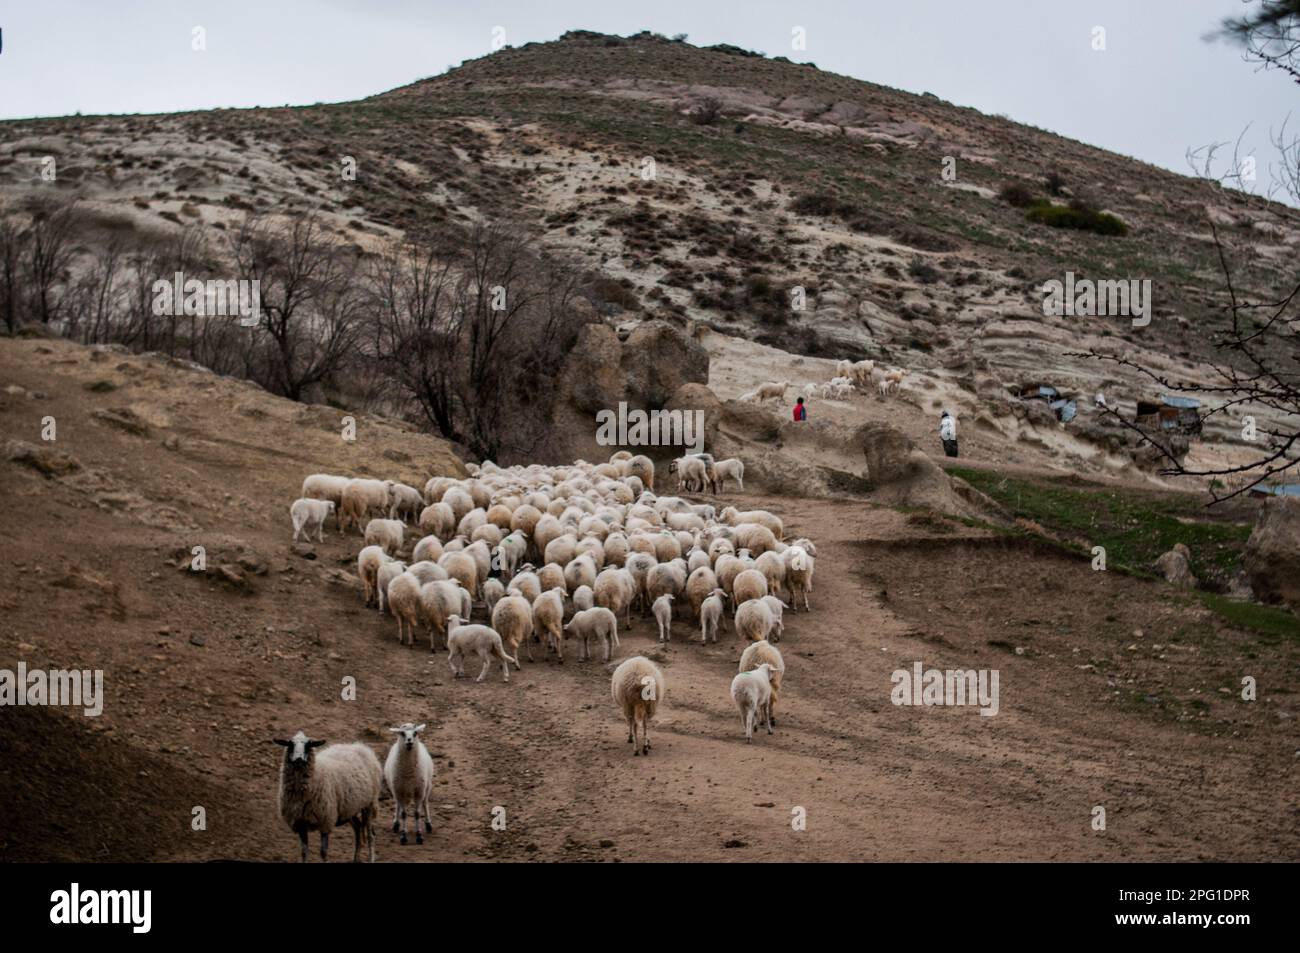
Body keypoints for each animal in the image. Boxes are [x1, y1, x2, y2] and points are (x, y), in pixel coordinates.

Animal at [275, 731, 382, 862]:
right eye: (290, 744)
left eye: (308, 745)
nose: (298, 759)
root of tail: (360, 746)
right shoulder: (300, 823)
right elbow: (304, 853)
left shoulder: (325, 820)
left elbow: (324, 853)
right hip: (350, 808)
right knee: (357, 829)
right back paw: (355, 858)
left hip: (369, 804)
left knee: (371, 835)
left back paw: (371, 858)